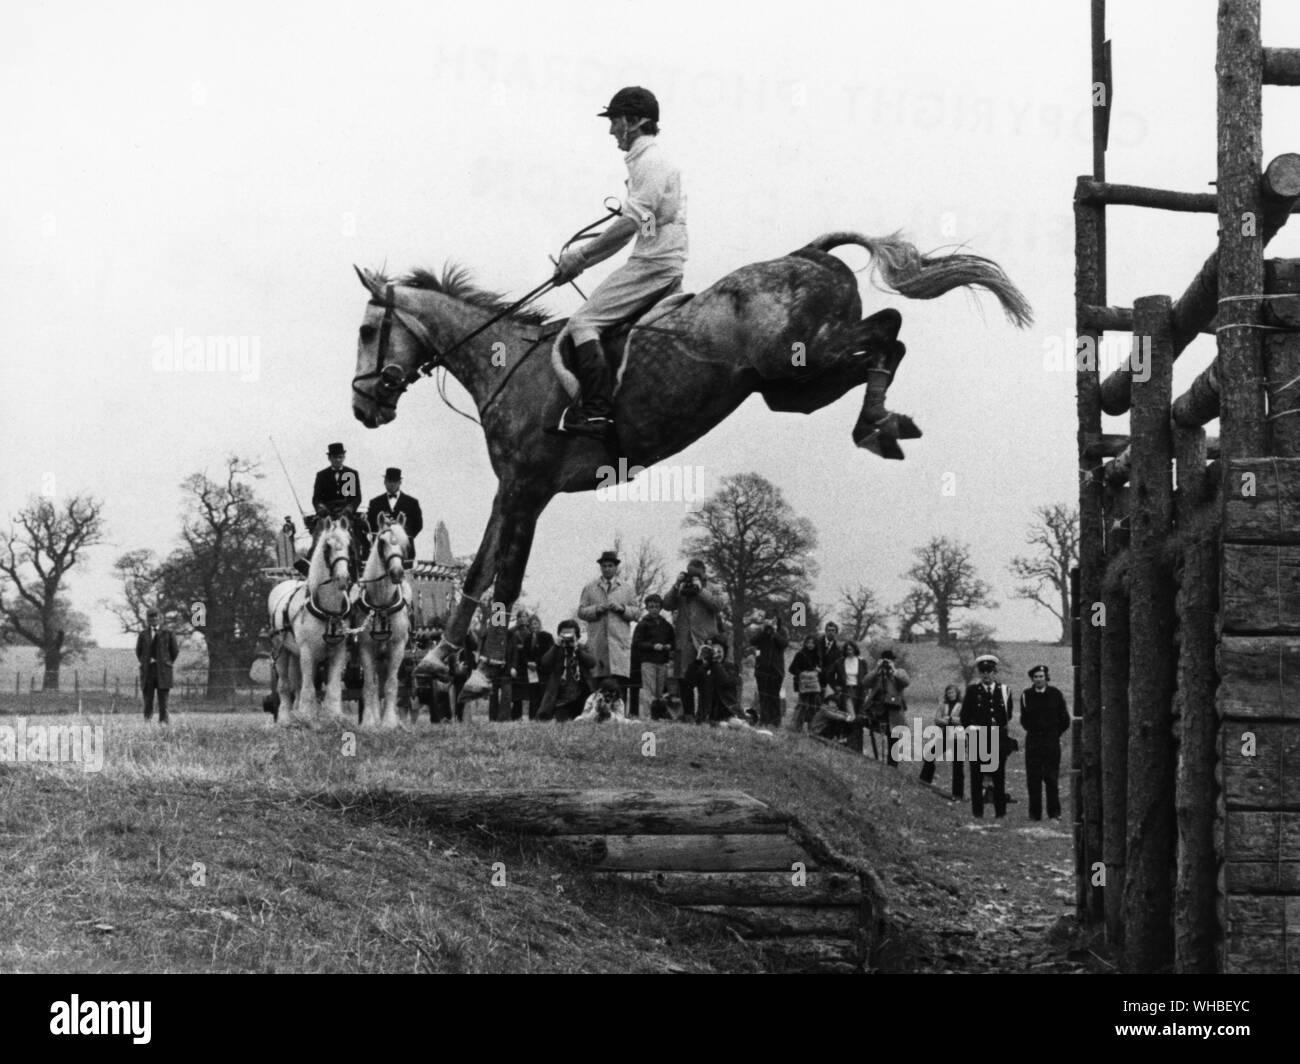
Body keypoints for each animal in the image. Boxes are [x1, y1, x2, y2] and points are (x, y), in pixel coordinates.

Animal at [265, 516, 355, 724]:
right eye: (327, 546)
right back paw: (285, 718)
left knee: (296, 685)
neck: (327, 609)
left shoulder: (338, 652)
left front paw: (334, 716)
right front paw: (307, 716)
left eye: (349, 544)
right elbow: (309, 688)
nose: (343, 578)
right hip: (281, 651)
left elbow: (332, 688)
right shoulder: (308, 653)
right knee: (285, 685)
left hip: (295, 654)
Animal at [350, 231, 1032, 690]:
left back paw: (880, 425)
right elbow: (478, 571)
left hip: (797, 360)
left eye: (365, 332)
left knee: (890, 328)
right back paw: (882, 425)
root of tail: (809, 252)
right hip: (790, 388)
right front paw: (439, 659)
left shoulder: (529, 488)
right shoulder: (511, 490)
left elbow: (507, 578)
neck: (504, 366)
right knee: (881, 343)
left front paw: (482, 672)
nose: (362, 407)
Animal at [352, 513, 412, 729]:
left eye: (405, 543)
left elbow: (391, 685)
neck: (382, 604)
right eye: (382, 541)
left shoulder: (398, 646)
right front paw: (370, 721)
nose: (397, 573)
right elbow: (370, 685)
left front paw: (389, 722)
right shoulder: (365, 647)